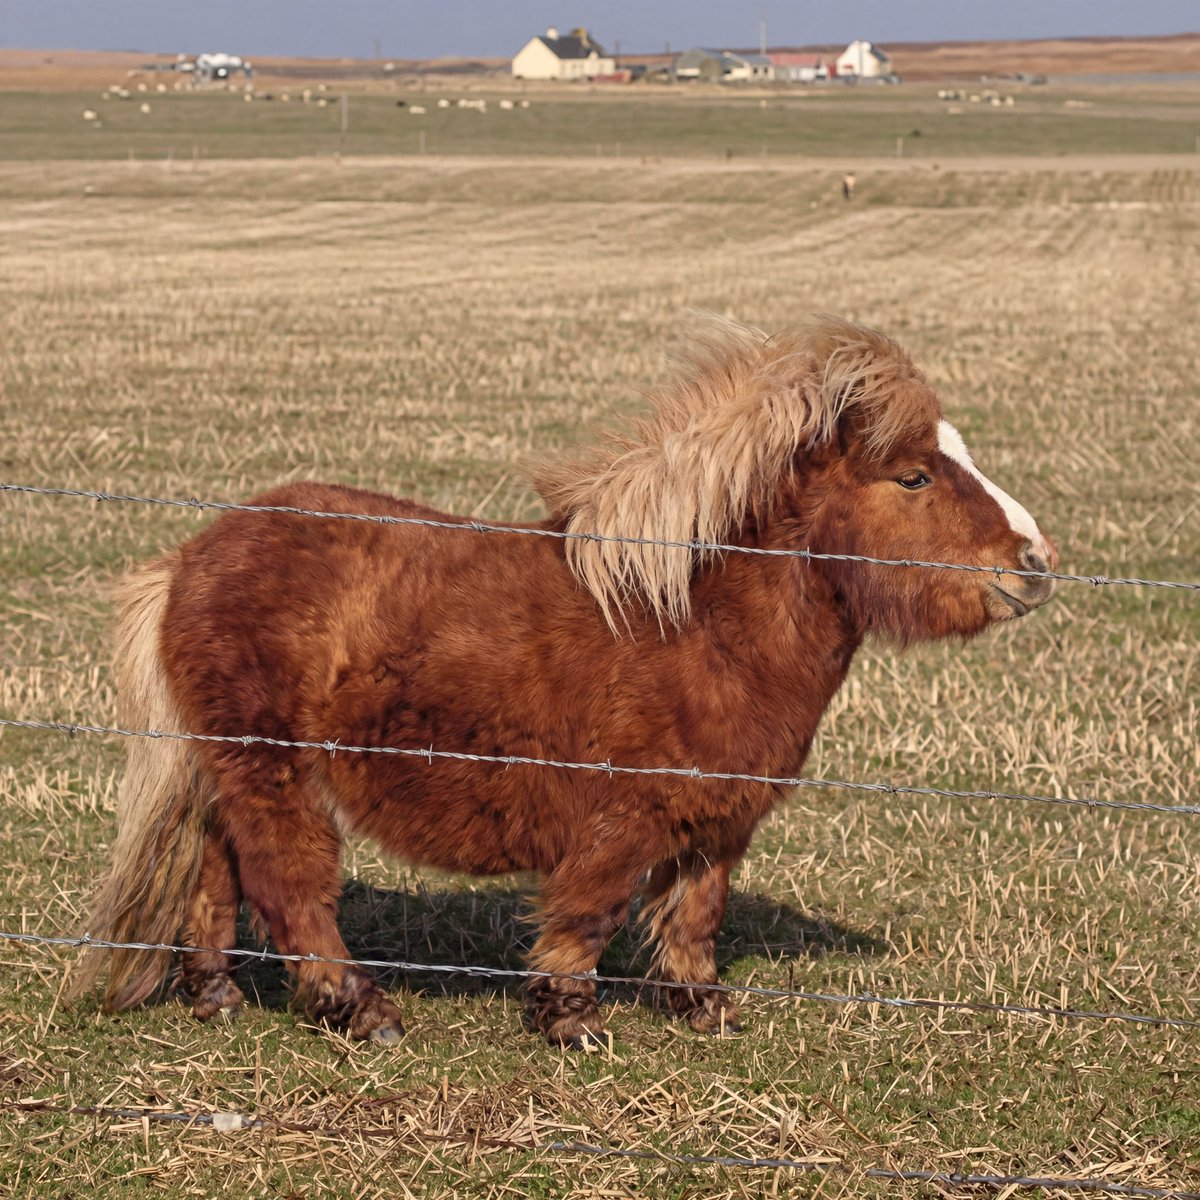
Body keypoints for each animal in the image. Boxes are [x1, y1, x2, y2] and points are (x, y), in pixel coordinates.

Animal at [73, 315, 1056, 1048]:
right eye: (914, 476)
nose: (1037, 564)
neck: (693, 618)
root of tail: (192, 556)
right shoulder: (619, 820)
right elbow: (589, 914)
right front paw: (570, 1022)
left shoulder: (721, 817)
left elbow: (695, 913)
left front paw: (702, 1009)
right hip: (271, 770)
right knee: (288, 882)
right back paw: (358, 1010)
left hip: (227, 769)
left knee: (216, 872)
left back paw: (216, 995)